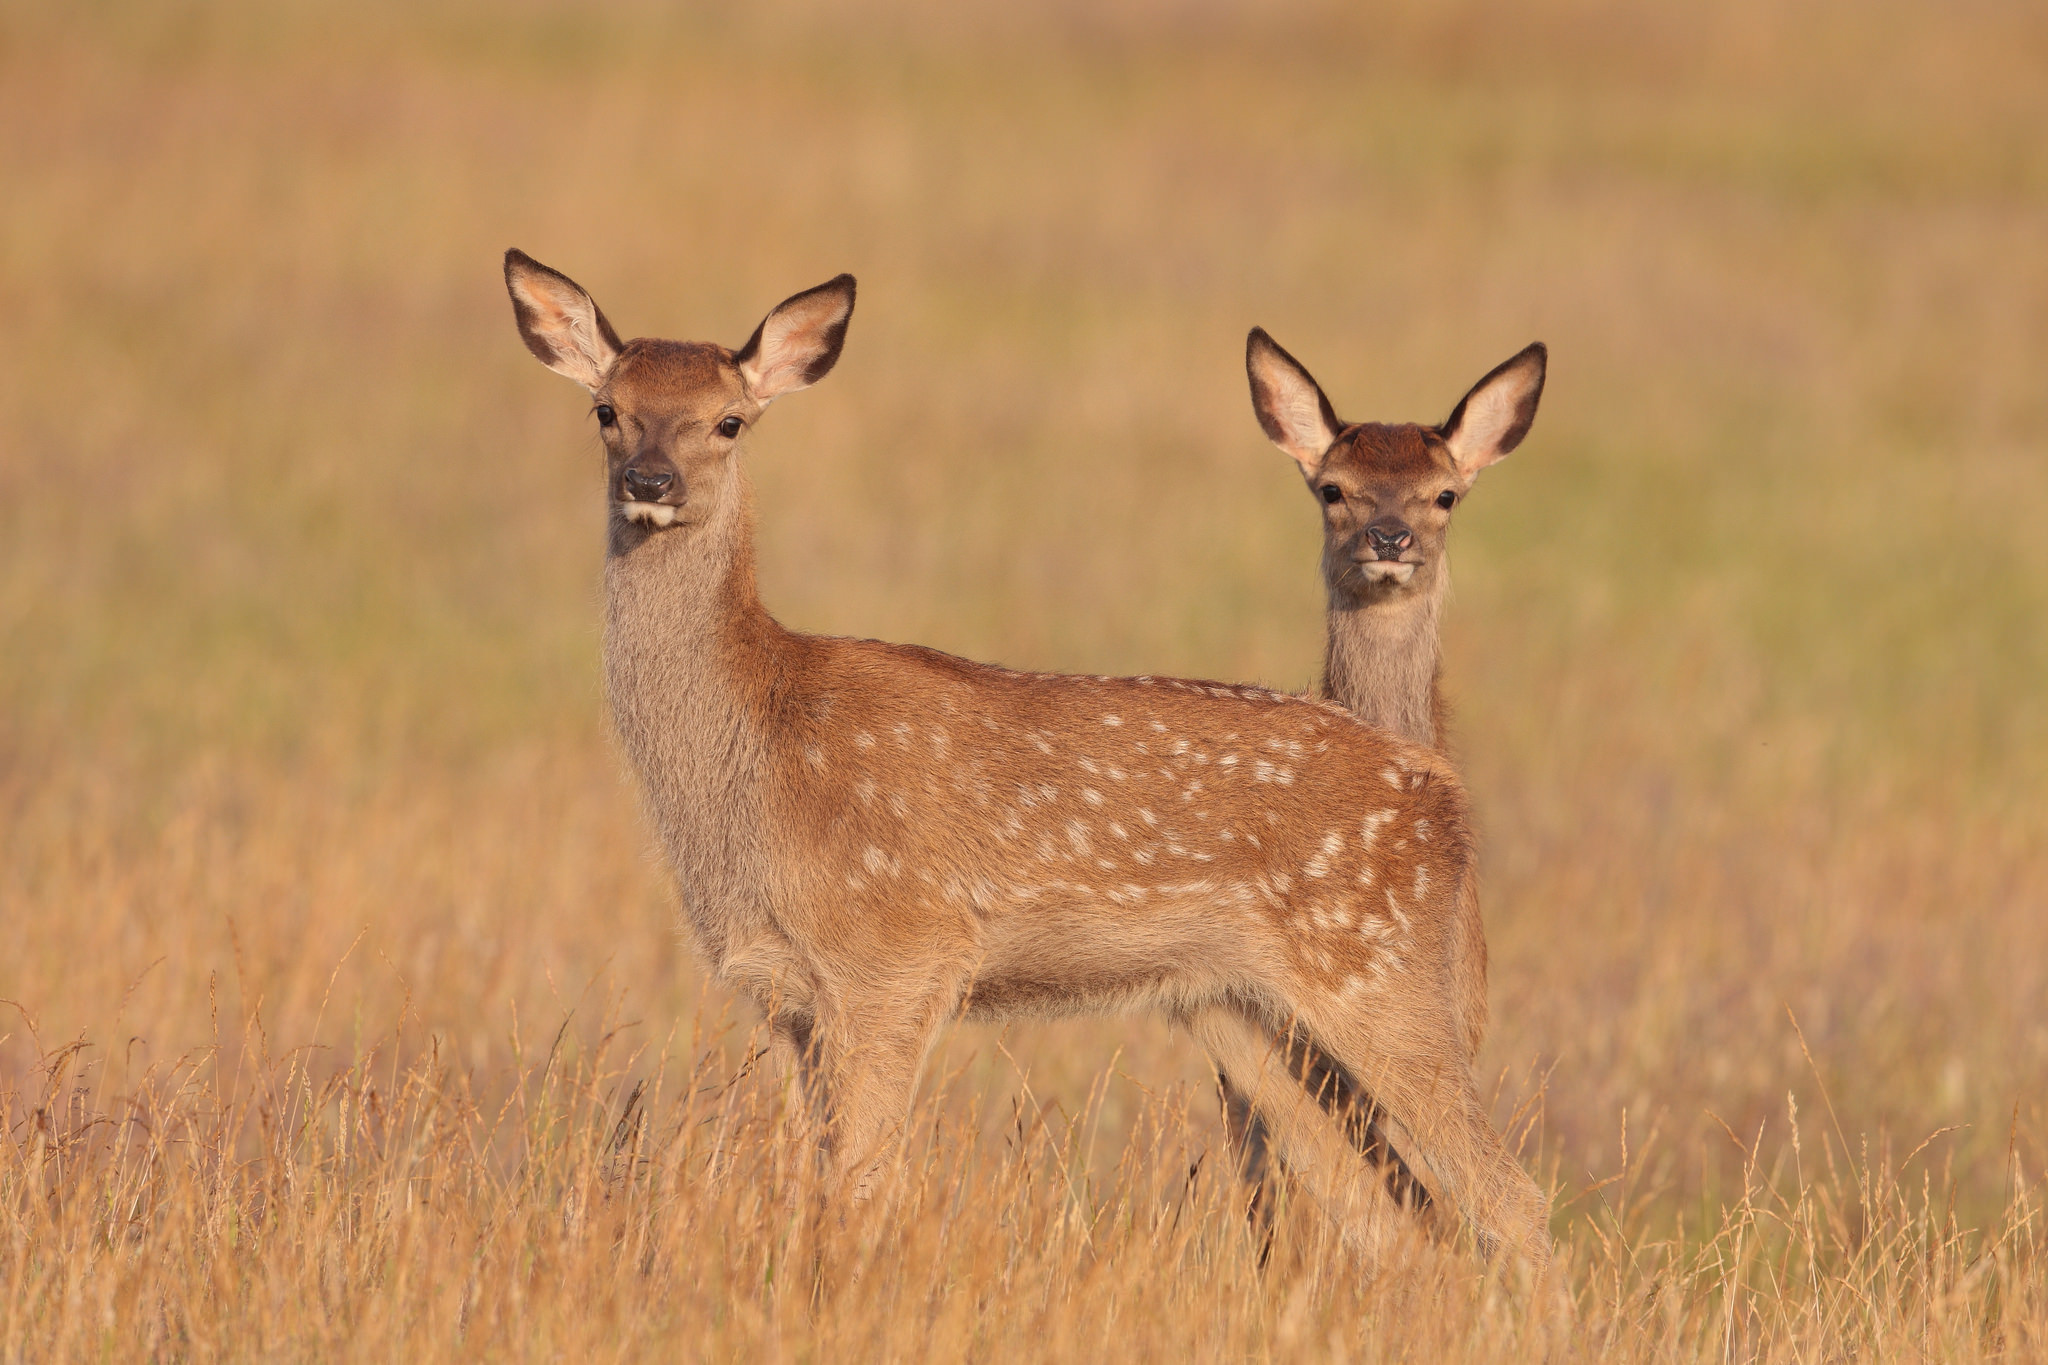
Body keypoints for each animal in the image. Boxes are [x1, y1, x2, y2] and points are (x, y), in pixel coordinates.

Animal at [501, 250, 1554, 1273]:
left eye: (729, 419)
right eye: (607, 409)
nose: (648, 481)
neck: (755, 749)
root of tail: (1441, 789)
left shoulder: (898, 954)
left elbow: (865, 1190)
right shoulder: (790, 998)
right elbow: (817, 1184)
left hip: (1379, 969)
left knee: (1513, 1199)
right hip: (1239, 1011)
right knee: (1389, 1215)